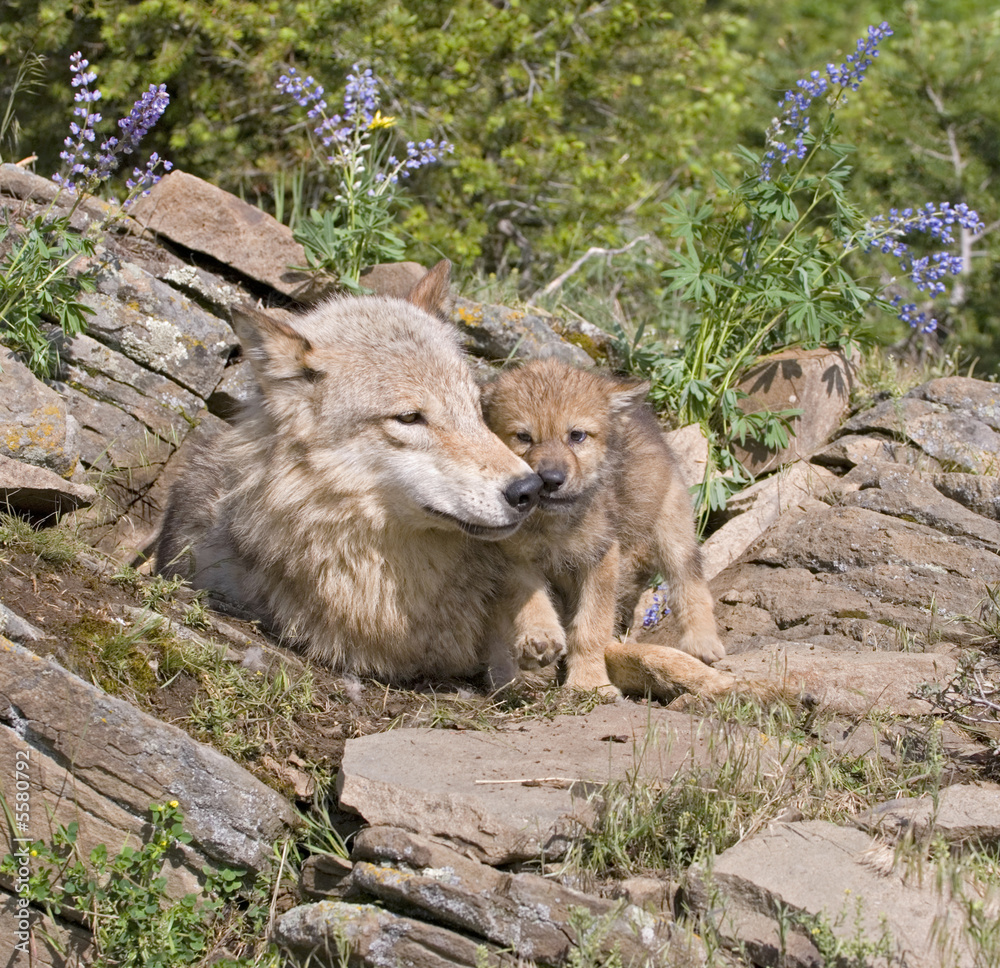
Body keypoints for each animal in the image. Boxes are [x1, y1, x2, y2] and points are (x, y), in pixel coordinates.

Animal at [482, 358, 729, 696]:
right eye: (523, 437)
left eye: (577, 435)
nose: (551, 480)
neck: (552, 523)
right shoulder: (515, 559)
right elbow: (530, 601)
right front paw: (540, 638)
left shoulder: (600, 559)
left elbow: (591, 628)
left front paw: (588, 683)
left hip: (672, 529)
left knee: (689, 582)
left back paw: (702, 642)